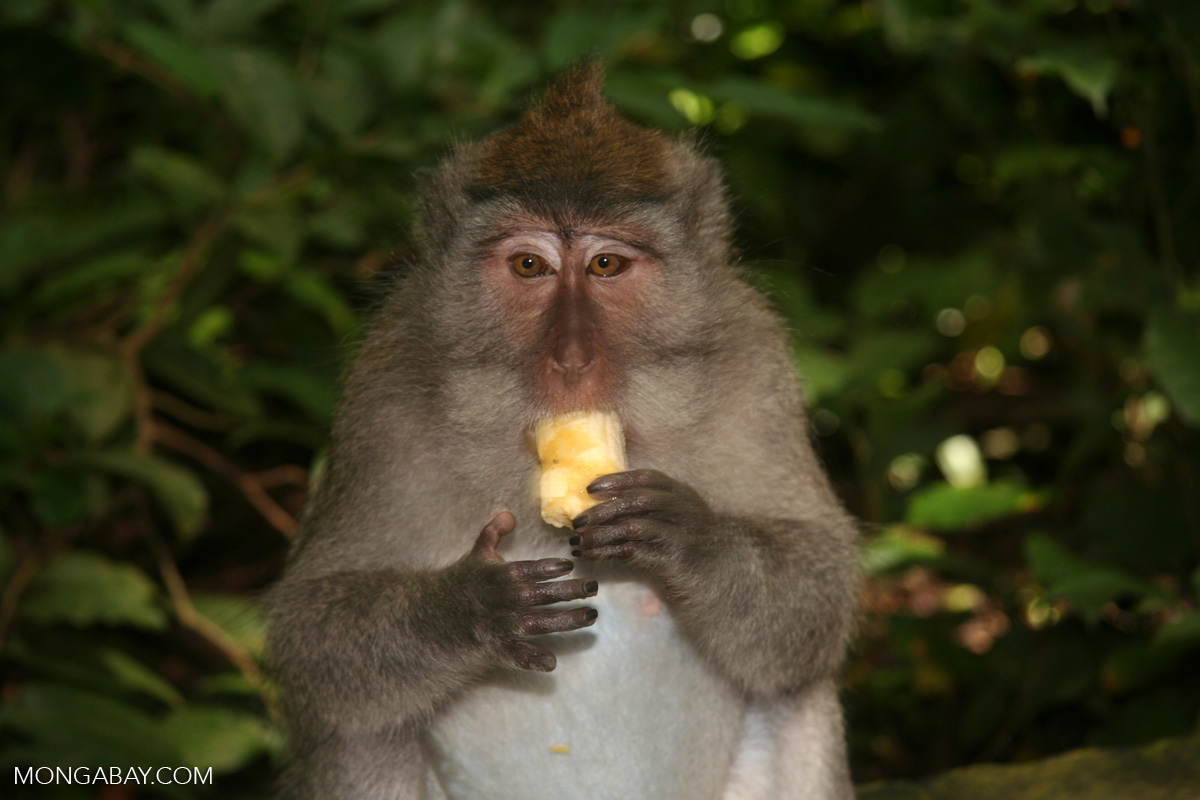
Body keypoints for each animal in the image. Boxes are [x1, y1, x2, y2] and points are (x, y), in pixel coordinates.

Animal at [264, 60, 859, 800]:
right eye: (529, 265)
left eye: (606, 265)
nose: (571, 360)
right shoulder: (383, 394)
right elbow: (308, 631)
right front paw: (468, 608)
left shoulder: (756, 360)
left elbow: (818, 581)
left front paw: (689, 537)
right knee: (361, 731)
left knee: (794, 692)